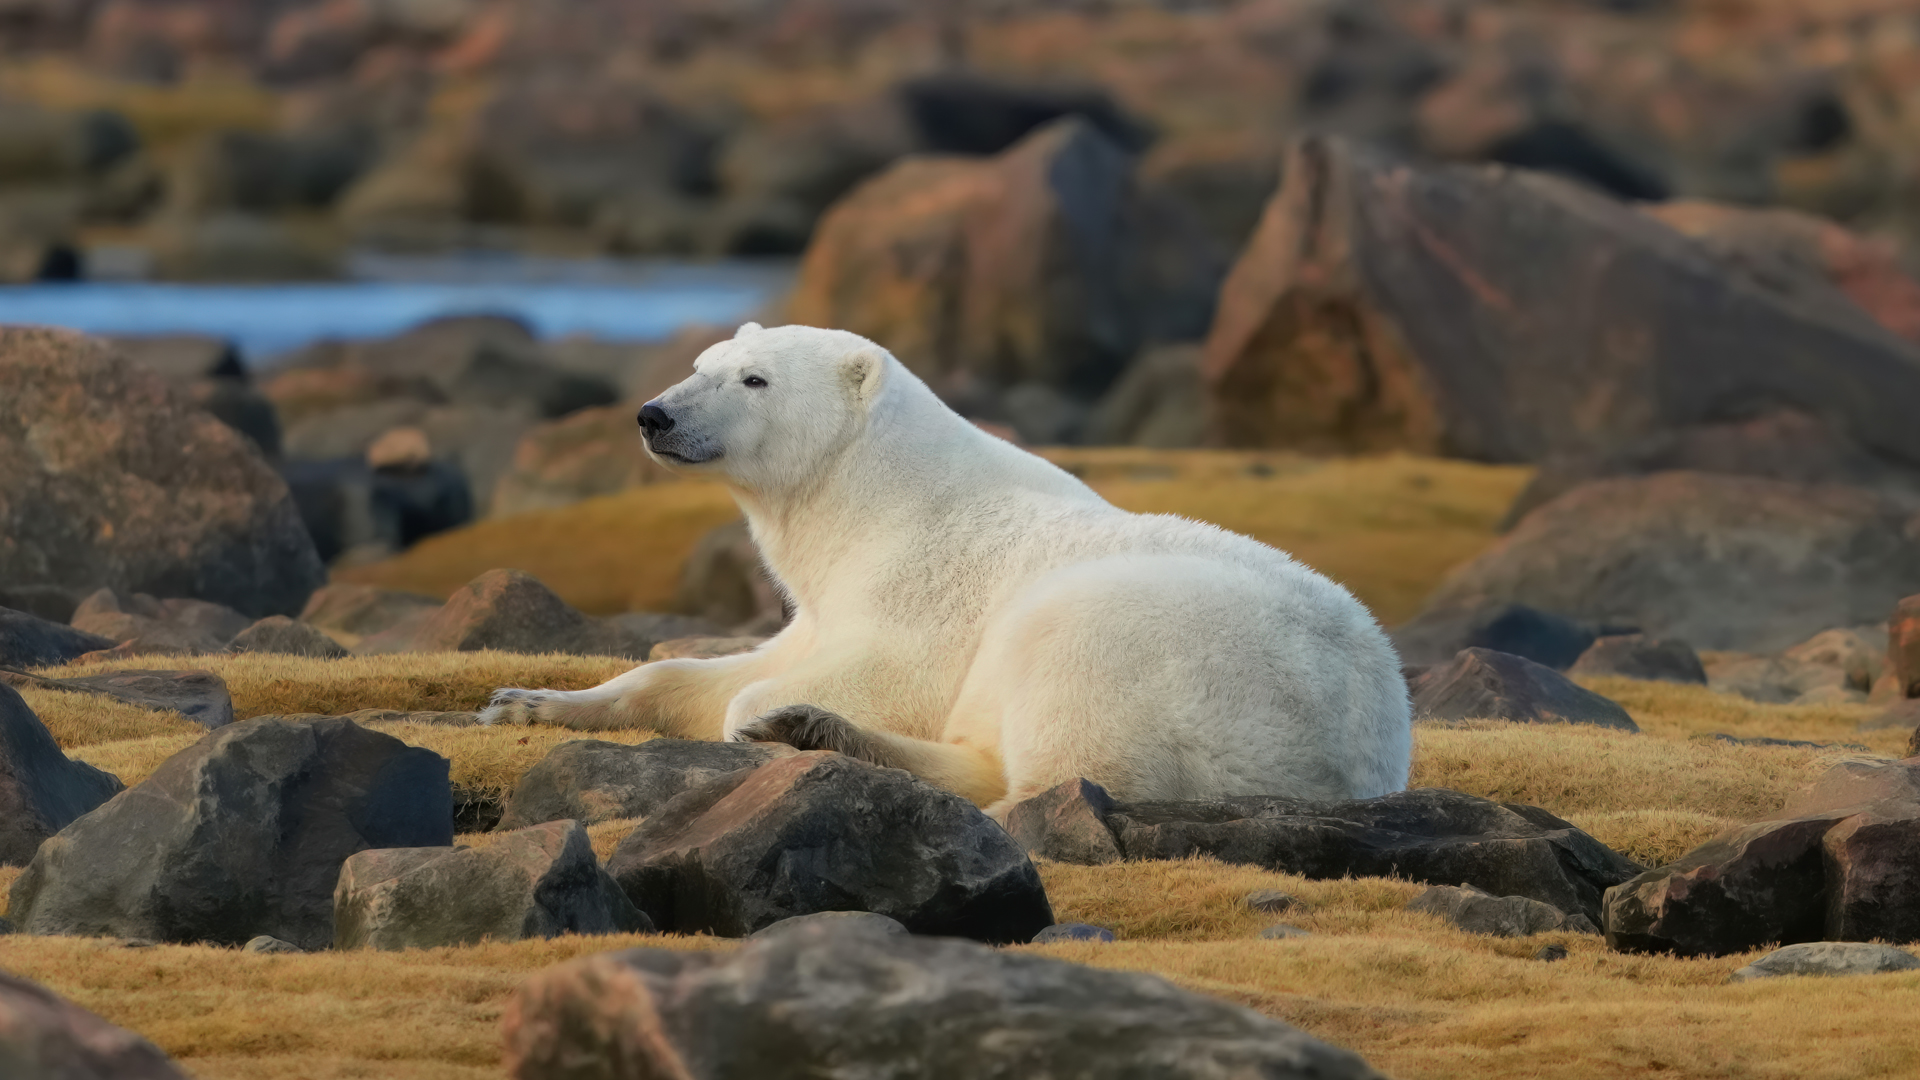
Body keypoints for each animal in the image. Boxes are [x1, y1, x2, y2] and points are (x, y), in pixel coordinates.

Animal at [480, 323, 1412, 815]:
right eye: (701, 364)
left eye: (754, 380)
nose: (654, 415)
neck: (875, 494)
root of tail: (1382, 741)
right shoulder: (825, 603)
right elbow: (710, 671)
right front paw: (522, 701)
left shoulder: (924, 584)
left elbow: (892, 676)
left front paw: (763, 720)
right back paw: (817, 729)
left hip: (1189, 657)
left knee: (1064, 728)